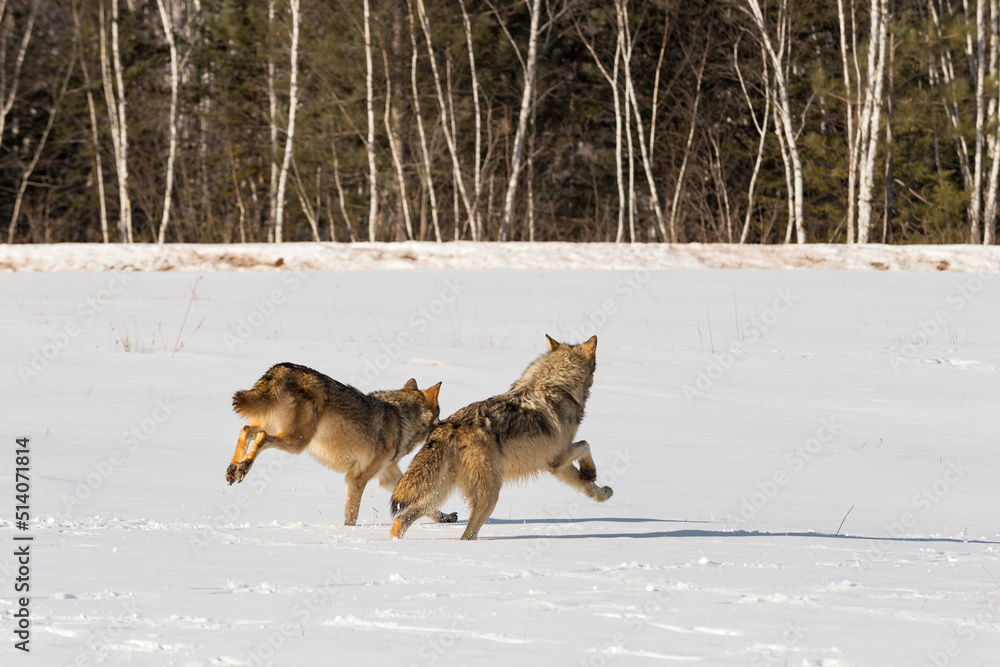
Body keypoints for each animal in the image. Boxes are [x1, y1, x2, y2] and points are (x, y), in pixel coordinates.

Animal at [226, 362, 456, 526]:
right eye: (439, 417)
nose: (446, 425)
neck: (401, 419)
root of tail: (283, 367)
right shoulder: (357, 478)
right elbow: (351, 516)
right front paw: (349, 533)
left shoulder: (387, 475)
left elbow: (417, 500)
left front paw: (446, 517)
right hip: (297, 443)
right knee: (261, 436)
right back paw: (243, 468)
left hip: (281, 432)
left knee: (246, 430)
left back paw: (233, 469)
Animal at [389, 335, 613, 540]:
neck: (555, 385)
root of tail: (448, 426)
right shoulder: (557, 458)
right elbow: (585, 444)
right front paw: (590, 471)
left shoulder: (557, 467)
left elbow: (588, 486)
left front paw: (602, 491)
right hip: (489, 495)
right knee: (467, 535)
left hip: (440, 493)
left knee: (401, 518)